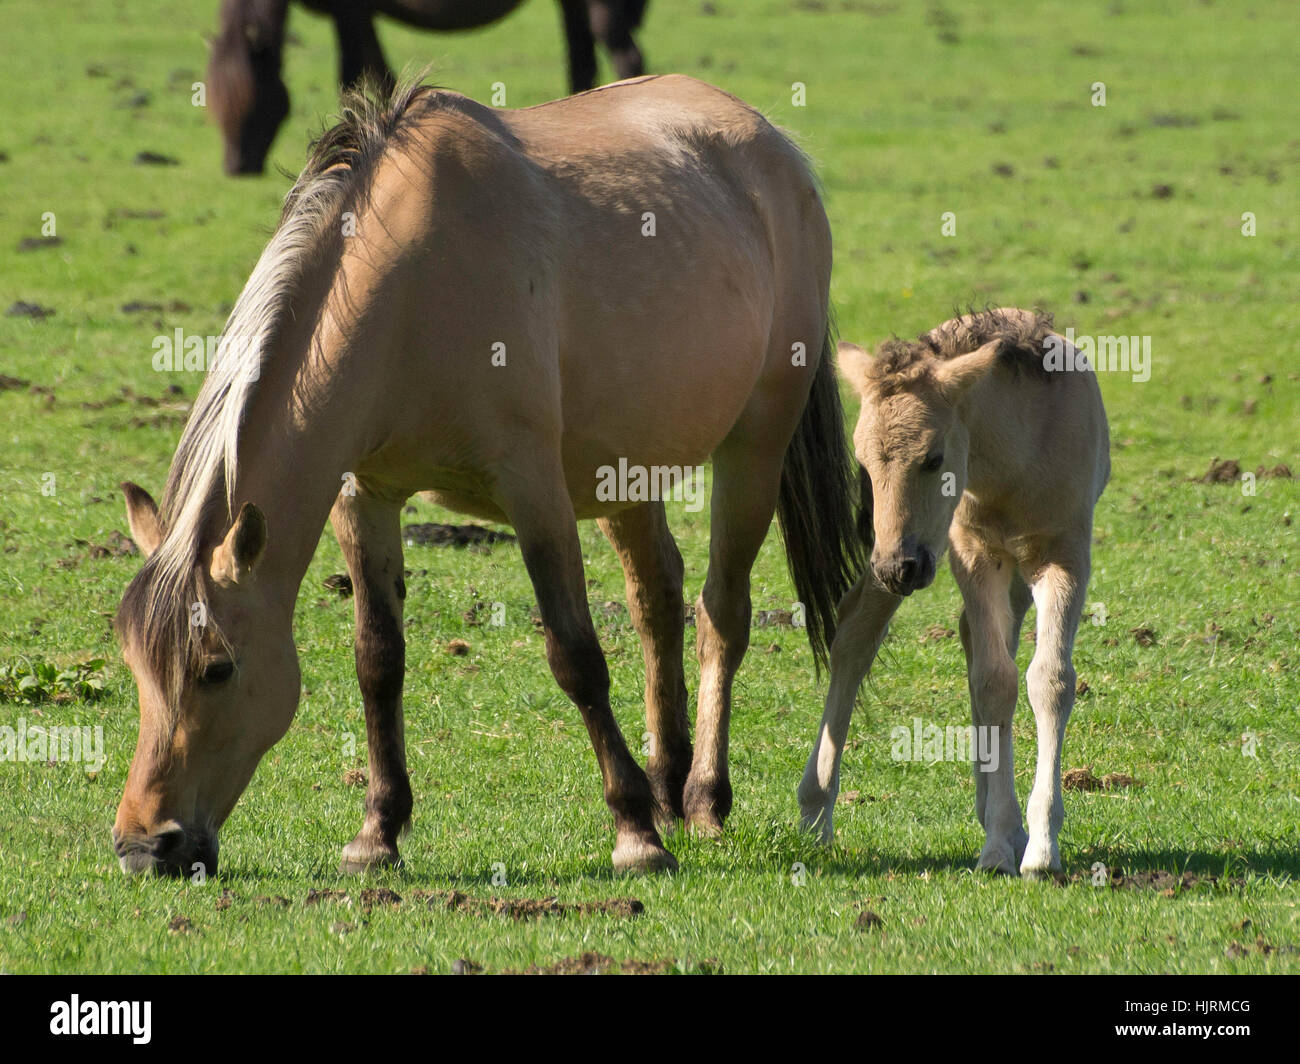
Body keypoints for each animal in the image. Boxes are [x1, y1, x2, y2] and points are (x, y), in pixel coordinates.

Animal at [112, 74, 864, 879]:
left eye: (217, 668)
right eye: (133, 662)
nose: (144, 845)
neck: (411, 286)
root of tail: (773, 146)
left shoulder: (534, 490)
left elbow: (576, 655)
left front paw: (634, 835)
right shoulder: (364, 497)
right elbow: (377, 660)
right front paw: (377, 831)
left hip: (755, 447)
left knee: (721, 614)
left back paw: (700, 801)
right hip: (629, 468)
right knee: (656, 599)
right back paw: (667, 783)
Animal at [209, 0, 650, 174]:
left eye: (249, 105)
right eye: (214, 105)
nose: (235, 167)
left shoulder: (350, 10)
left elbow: (355, 71)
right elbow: (375, 70)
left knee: (622, 52)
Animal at [797, 309, 1110, 877]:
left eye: (932, 457)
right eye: (863, 464)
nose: (897, 567)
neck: (1011, 465)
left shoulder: (1064, 556)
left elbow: (1049, 679)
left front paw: (1040, 847)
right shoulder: (971, 552)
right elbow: (994, 682)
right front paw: (1000, 846)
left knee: (982, 639)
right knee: (857, 634)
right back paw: (816, 811)